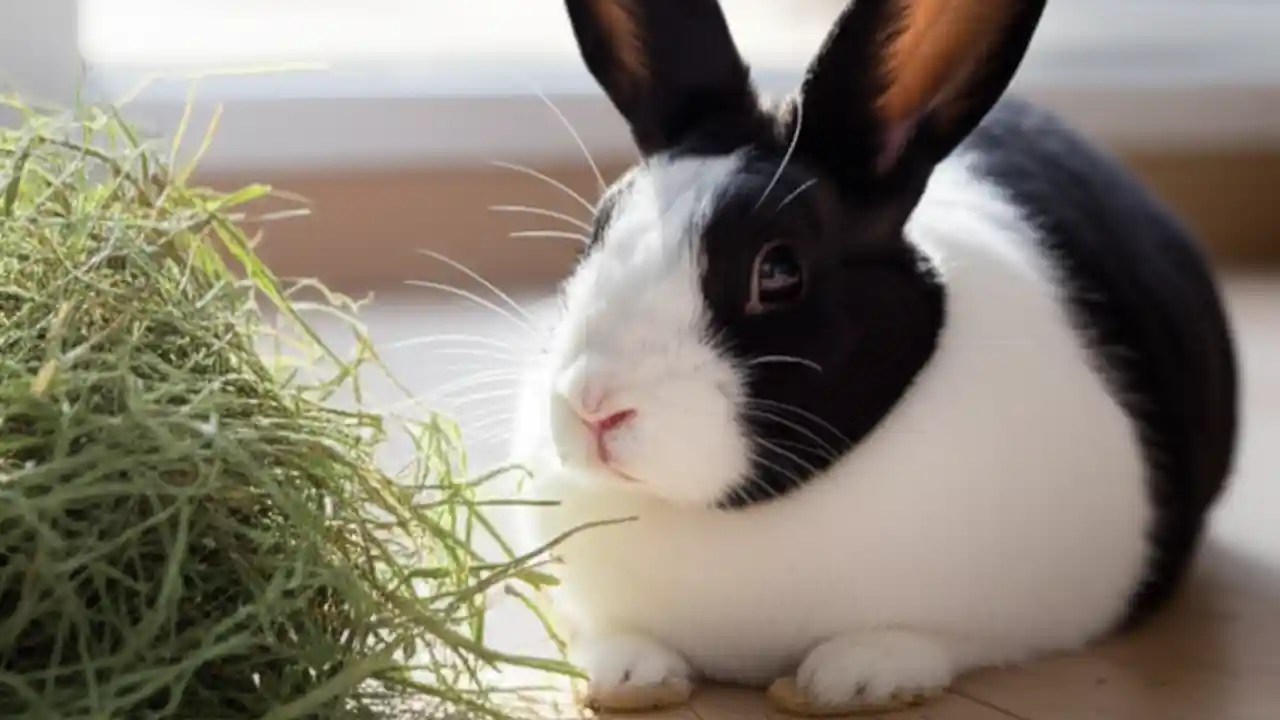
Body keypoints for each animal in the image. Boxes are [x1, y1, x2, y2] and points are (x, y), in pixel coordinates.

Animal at [508, 0, 1238, 712]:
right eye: (598, 233)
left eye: (779, 273)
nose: (595, 407)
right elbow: (613, 635)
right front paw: (627, 675)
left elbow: (918, 638)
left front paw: (853, 679)